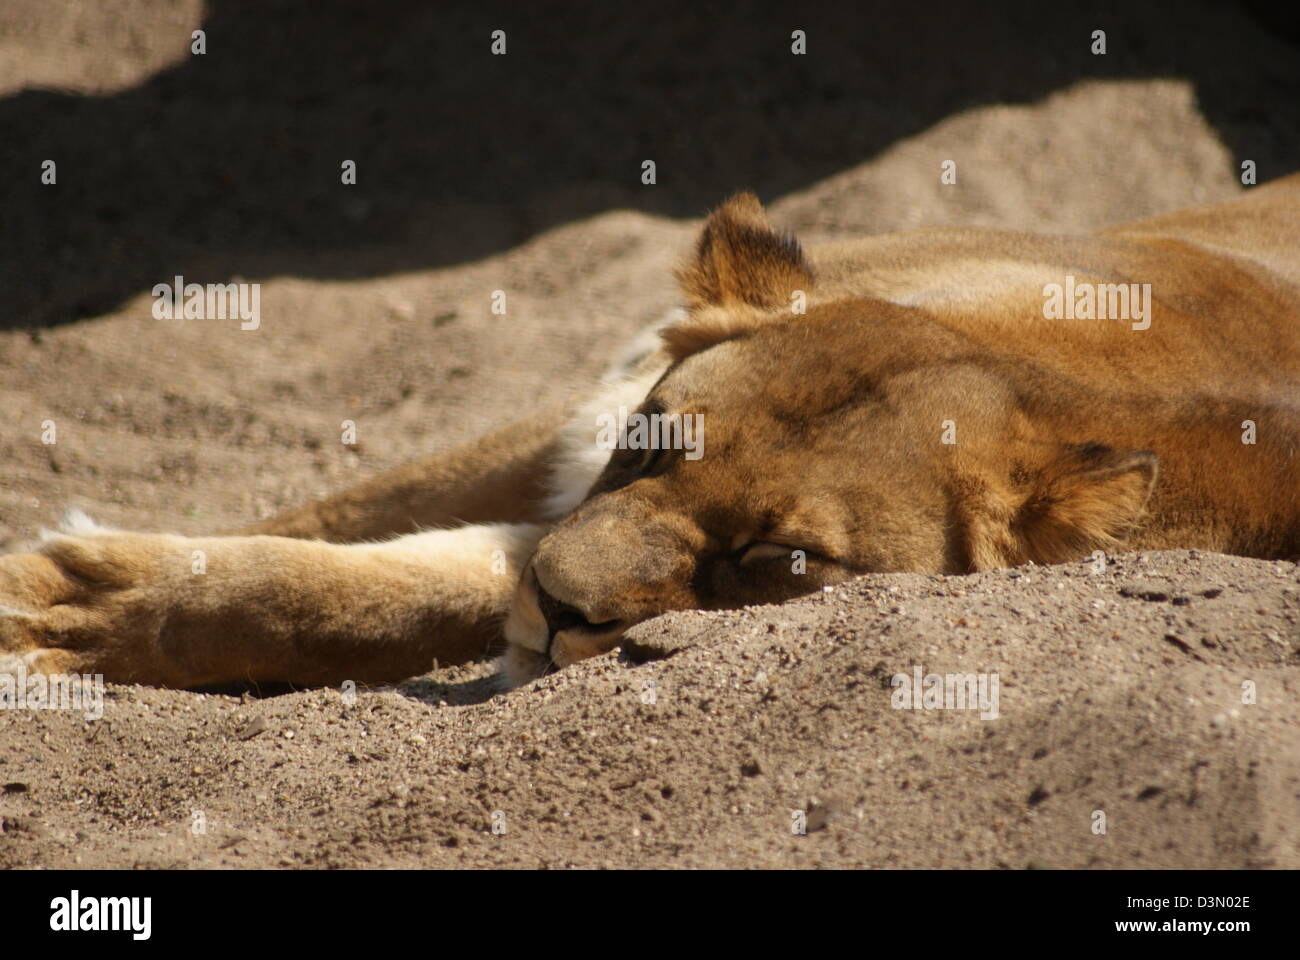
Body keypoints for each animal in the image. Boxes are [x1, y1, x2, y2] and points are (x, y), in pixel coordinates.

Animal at [2, 179, 1297, 690]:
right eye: (652, 441)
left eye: (778, 565)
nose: (556, 606)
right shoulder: (574, 428)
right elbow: (339, 530)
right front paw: (63, 592)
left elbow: (392, 593)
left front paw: (68, 614)